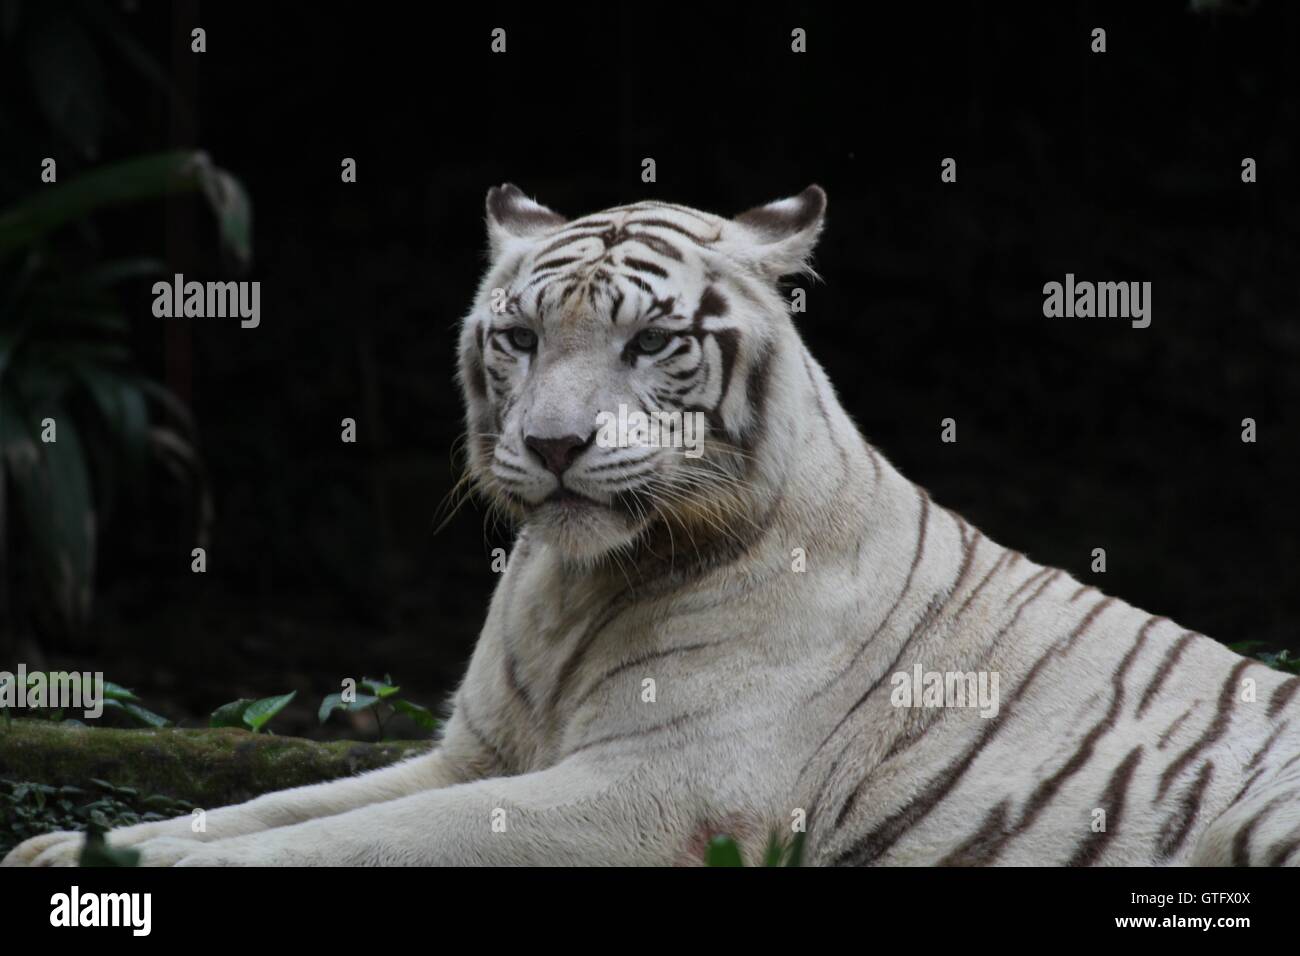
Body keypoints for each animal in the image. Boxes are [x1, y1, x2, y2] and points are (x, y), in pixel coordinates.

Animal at [8, 184, 1299, 867]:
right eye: (520, 336)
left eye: (651, 341)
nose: (553, 444)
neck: (574, 584)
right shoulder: (477, 752)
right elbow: (280, 803)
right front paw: (74, 849)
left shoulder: (652, 789)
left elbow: (350, 841)